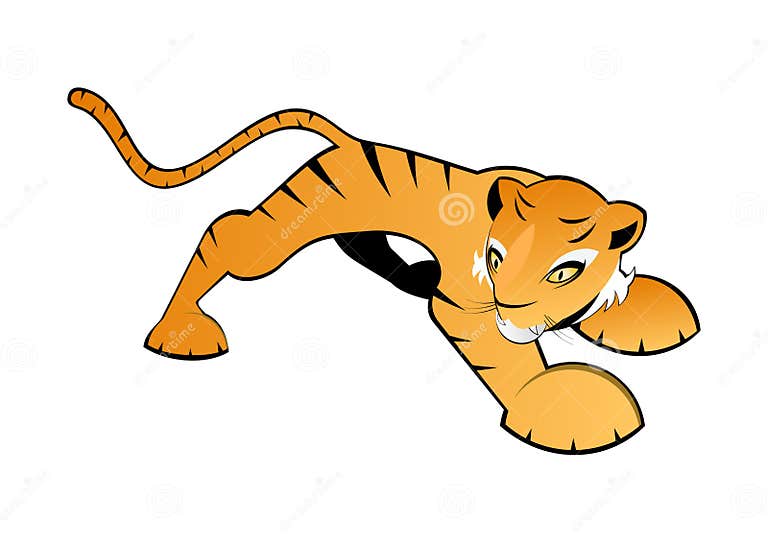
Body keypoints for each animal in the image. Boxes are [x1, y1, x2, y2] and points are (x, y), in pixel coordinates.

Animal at [69, 87, 699, 454]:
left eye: (566, 271)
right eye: (495, 259)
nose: (512, 308)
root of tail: (347, 141)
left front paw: (651, 313)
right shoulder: (466, 305)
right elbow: (513, 361)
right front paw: (566, 406)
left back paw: (412, 272)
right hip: (275, 239)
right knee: (227, 232)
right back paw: (177, 333)